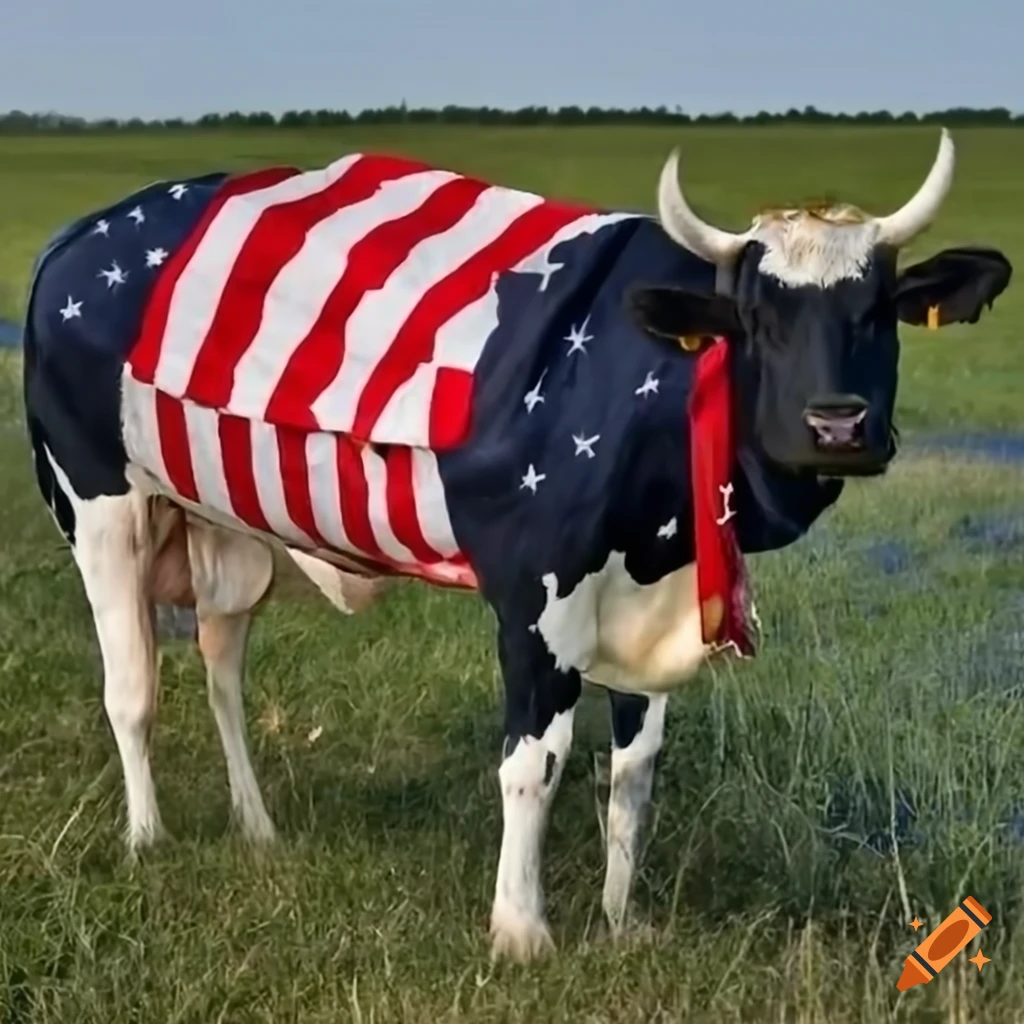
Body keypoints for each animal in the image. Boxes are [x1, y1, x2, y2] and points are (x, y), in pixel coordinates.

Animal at [21, 129, 1011, 960]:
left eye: (878, 313)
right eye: (757, 319)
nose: (836, 426)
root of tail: (77, 239)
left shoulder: (655, 592)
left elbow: (634, 775)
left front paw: (621, 917)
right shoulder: (538, 603)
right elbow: (534, 767)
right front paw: (521, 930)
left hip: (228, 531)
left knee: (223, 668)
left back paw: (256, 826)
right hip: (101, 503)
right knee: (132, 687)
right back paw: (147, 836)